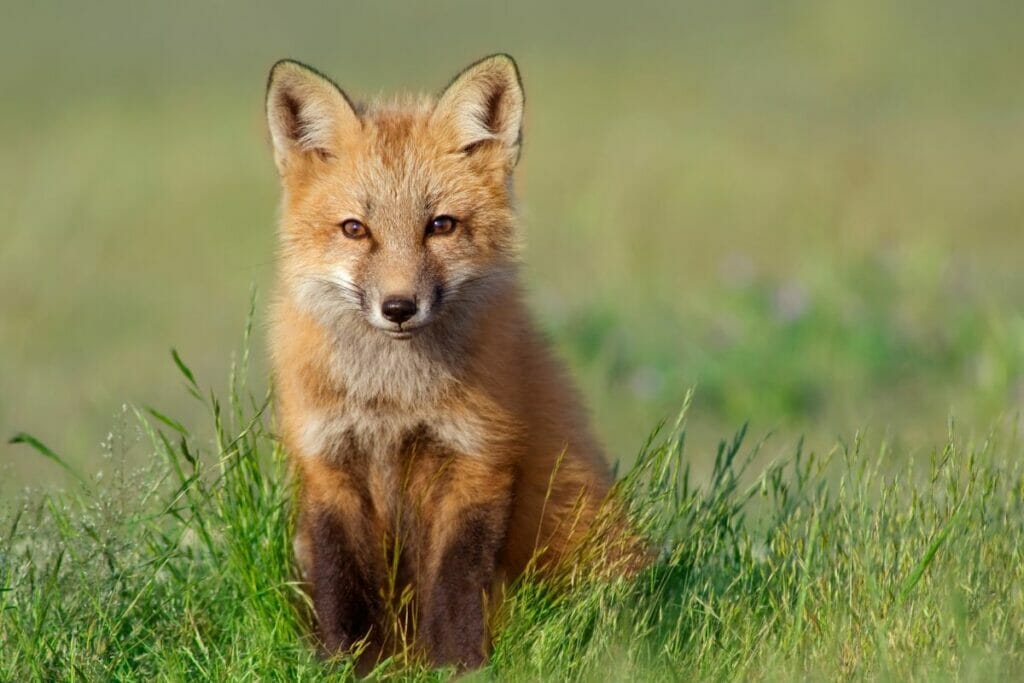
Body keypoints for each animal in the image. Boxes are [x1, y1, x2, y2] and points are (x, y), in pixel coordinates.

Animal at [265, 54, 640, 670]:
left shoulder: (477, 459)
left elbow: (455, 583)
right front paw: (346, 665)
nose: (398, 307)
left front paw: (457, 667)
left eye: (439, 225)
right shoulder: (328, 464)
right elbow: (342, 584)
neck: (393, 400)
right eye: (355, 229)